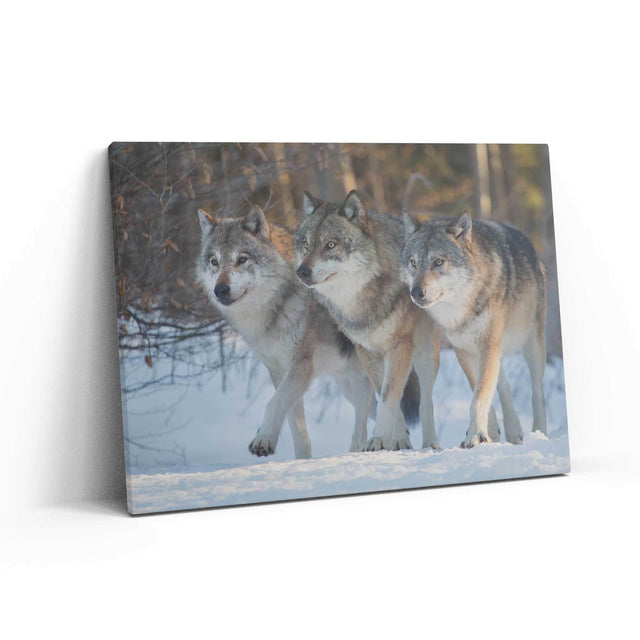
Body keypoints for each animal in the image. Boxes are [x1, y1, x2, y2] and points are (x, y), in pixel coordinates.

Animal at [196, 207, 376, 459]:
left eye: (242, 259)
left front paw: (263, 439)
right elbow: (296, 427)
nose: (220, 289)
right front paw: (301, 461)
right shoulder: (279, 371)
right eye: (214, 261)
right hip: (348, 382)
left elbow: (273, 403)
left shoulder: (300, 366)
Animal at [294, 190, 440, 451]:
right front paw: (396, 438)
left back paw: (432, 444)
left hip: (425, 353)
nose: (301, 271)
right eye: (306, 245)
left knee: (427, 400)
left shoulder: (400, 346)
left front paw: (380, 438)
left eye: (331, 244)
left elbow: (388, 396)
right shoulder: (366, 351)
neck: (361, 302)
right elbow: (386, 394)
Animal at [402, 210, 547, 447]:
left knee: (538, 393)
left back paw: (540, 433)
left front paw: (475, 435)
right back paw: (511, 431)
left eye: (438, 262)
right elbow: (480, 393)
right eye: (413, 263)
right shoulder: (465, 351)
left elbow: (479, 397)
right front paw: (485, 434)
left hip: (532, 346)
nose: (415, 292)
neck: (461, 306)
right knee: (504, 386)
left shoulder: (487, 345)